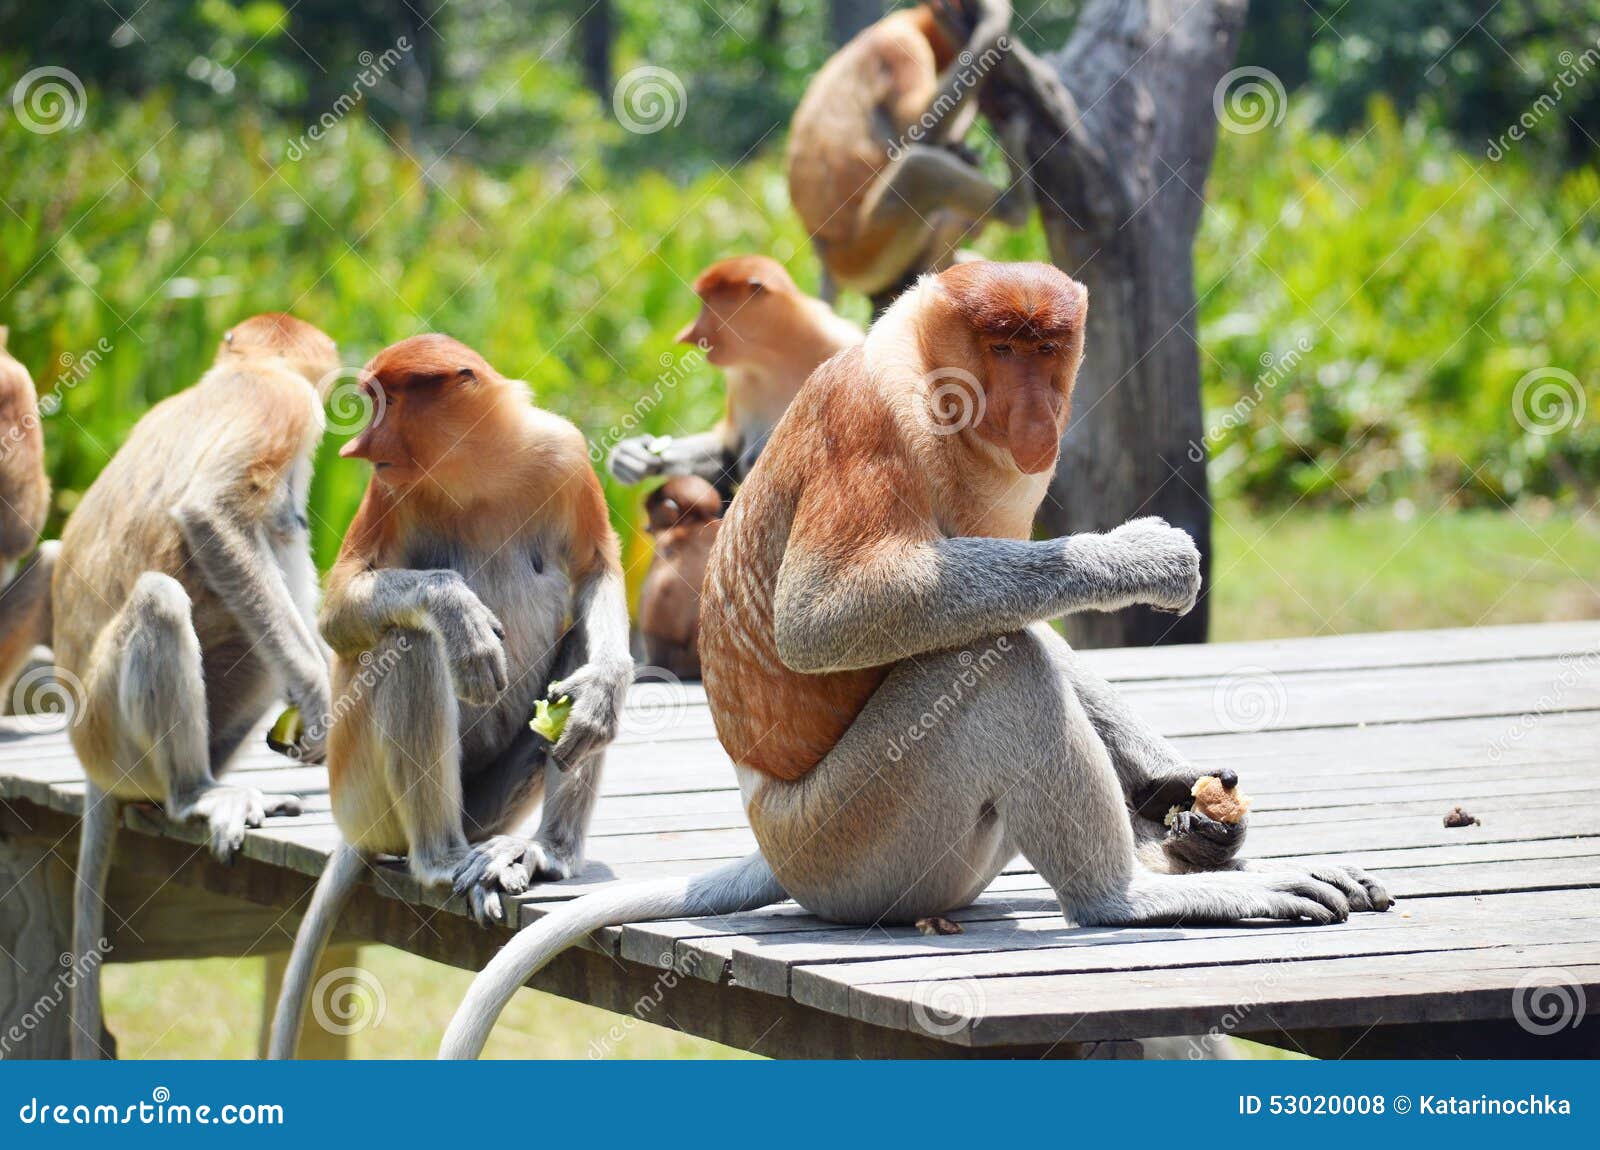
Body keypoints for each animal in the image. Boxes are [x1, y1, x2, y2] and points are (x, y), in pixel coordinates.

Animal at [54, 313, 337, 1059]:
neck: (241, 372)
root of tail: (87, 760)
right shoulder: (284, 407)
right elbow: (211, 513)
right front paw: (321, 696)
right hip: (114, 732)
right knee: (168, 593)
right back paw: (193, 795)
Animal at [267, 334, 633, 1059]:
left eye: (385, 401)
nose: (356, 448)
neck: (478, 470)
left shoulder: (565, 455)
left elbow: (597, 569)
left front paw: (602, 692)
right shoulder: (388, 490)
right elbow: (341, 607)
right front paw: (457, 613)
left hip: (489, 804)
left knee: (576, 641)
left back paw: (546, 854)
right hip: (363, 798)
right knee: (409, 645)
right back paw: (441, 861)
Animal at [607, 255, 862, 502]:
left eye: (707, 304)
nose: (685, 335)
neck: (780, 354)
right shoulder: (741, 380)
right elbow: (730, 453)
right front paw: (631, 456)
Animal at [786, 0, 1031, 313]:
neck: (903, 22)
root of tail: (827, 258)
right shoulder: (898, 49)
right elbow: (915, 125)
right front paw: (994, 19)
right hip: (868, 251)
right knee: (920, 168)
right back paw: (1014, 207)